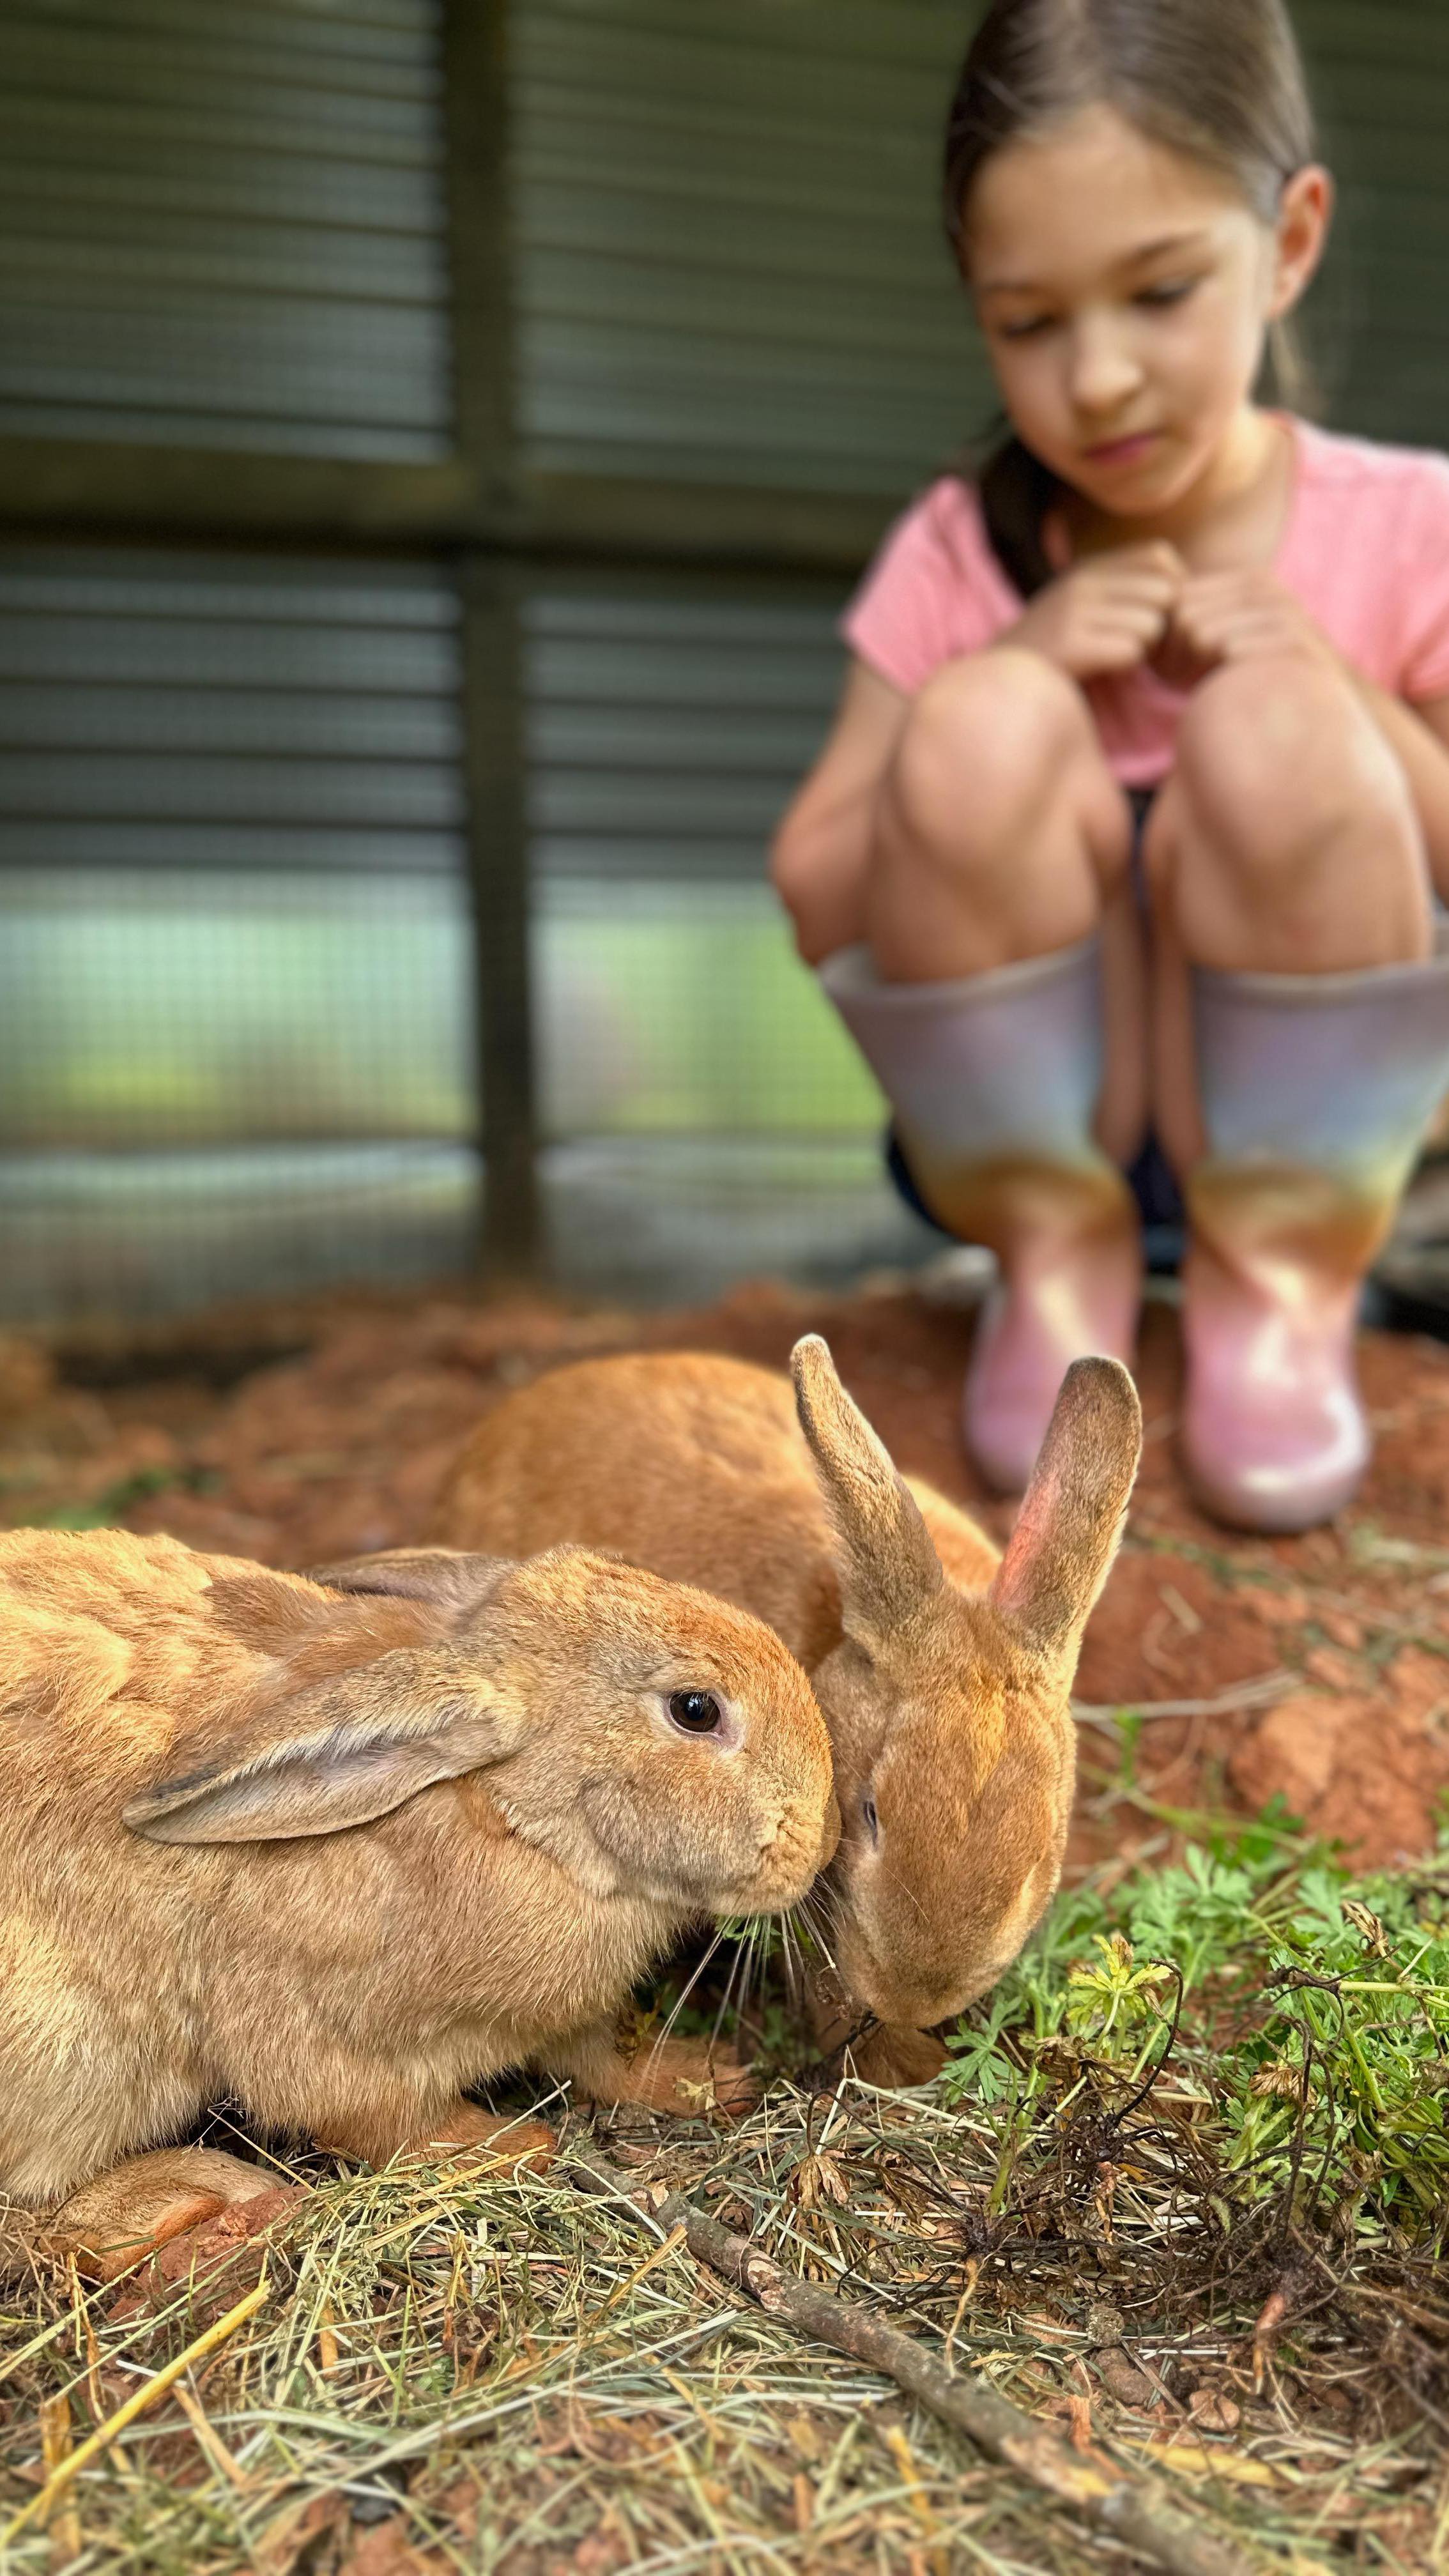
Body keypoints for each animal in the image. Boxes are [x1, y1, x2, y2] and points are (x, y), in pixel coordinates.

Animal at [0, 1524, 835, 2269]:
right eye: (696, 1709)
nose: (823, 1844)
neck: (501, 1808)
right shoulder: (311, 2034)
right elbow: (384, 2119)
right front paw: (516, 2144)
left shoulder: (574, 2020)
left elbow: (603, 2059)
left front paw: (714, 2077)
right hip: (72, 2054)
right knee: (41, 2216)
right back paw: (213, 2197)